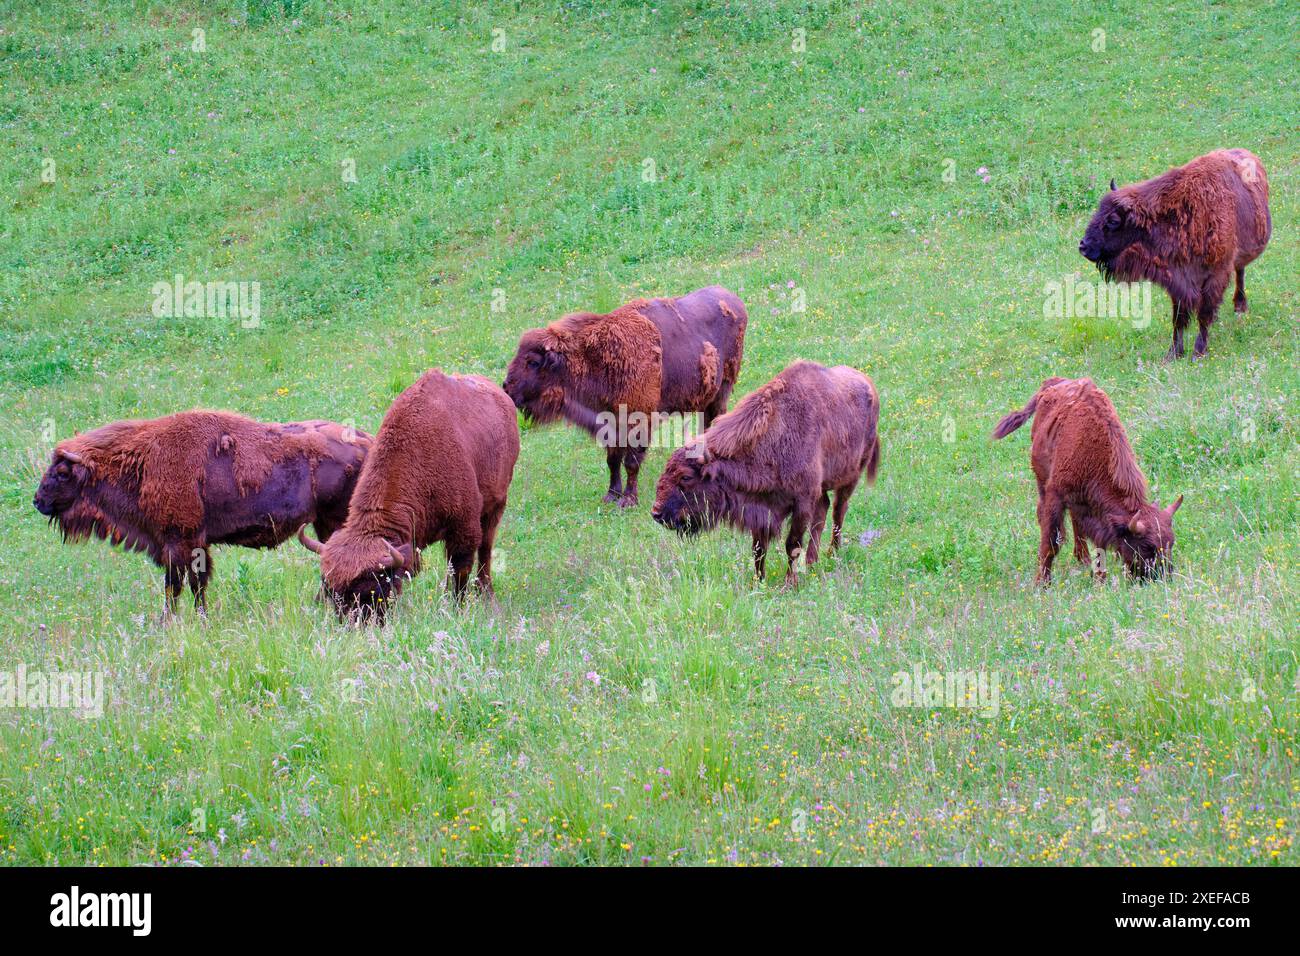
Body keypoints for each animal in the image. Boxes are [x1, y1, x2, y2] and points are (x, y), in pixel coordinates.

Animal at [34, 412, 371, 616]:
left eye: (62, 473)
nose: (38, 501)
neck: (142, 462)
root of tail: (365, 440)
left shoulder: (182, 541)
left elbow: (181, 584)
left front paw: (179, 620)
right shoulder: (187, 544)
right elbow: (189, 583)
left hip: (332, 521)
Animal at [502, 285, 747, 507]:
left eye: (533, 362)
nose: (506, 388)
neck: (593, 358)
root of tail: (734, 300)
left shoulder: (638, 422)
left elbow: (631, 462)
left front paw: (629, 500)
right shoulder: (610, 424)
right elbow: (612, 460)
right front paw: (611, 495)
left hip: (721, 392)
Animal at [652, 360, 880, 589]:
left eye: (686, 477)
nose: (656, 513)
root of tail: (869, 384)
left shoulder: (802, 502)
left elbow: (792, 545)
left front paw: (789, 584)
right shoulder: (763, 509)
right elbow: (759, 548)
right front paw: (758, 582)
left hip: (851, 477)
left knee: (838, 511)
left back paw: (832, 553)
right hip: (823, 488)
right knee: (823, 510)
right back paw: (812, 562)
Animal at [1079, 148, 1271, 360]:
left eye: (1113, 220)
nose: (1083, 246)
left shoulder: (1215, 275)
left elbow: (1203, 315)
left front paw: (1198, 352)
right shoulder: (1177, 281)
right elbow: (1179, 318)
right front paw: (1173, 353)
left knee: (1240, 273)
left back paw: (1240, 306)